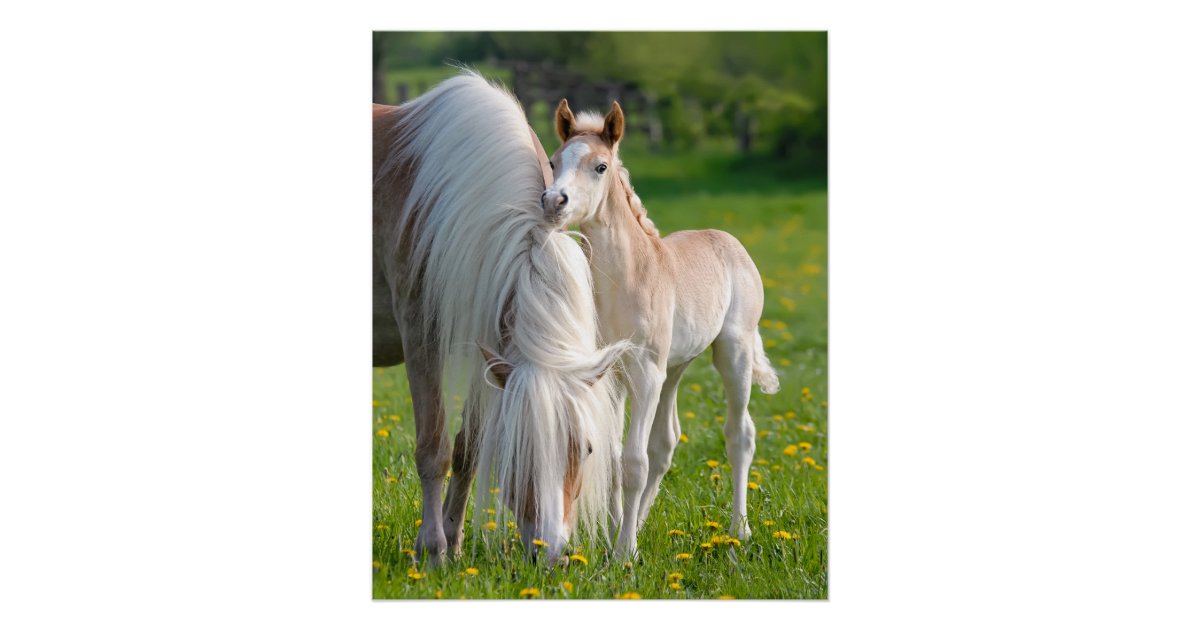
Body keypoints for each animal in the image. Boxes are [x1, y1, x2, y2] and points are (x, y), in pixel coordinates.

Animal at [373, 72, 629, 565]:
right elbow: (433, 448)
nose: (551, 554)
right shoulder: (421, 334)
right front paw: (433, 550)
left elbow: (468, 449)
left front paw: (451, 540)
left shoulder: (488, 343)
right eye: (519, 449)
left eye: (587, 448)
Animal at [541, 99, 781, 559]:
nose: (553, 201)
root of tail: (727, 240)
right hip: (674, 368)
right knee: (666, 443)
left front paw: (623, 554)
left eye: (600, 166)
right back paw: (640, 523)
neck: (626, 279)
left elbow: (634, 461)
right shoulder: (612, 374)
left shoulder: (645, 370)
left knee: (739, 435)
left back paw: (739, 530)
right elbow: (617, 458)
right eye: (554, 161)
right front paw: (616, 536)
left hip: (731, 353)